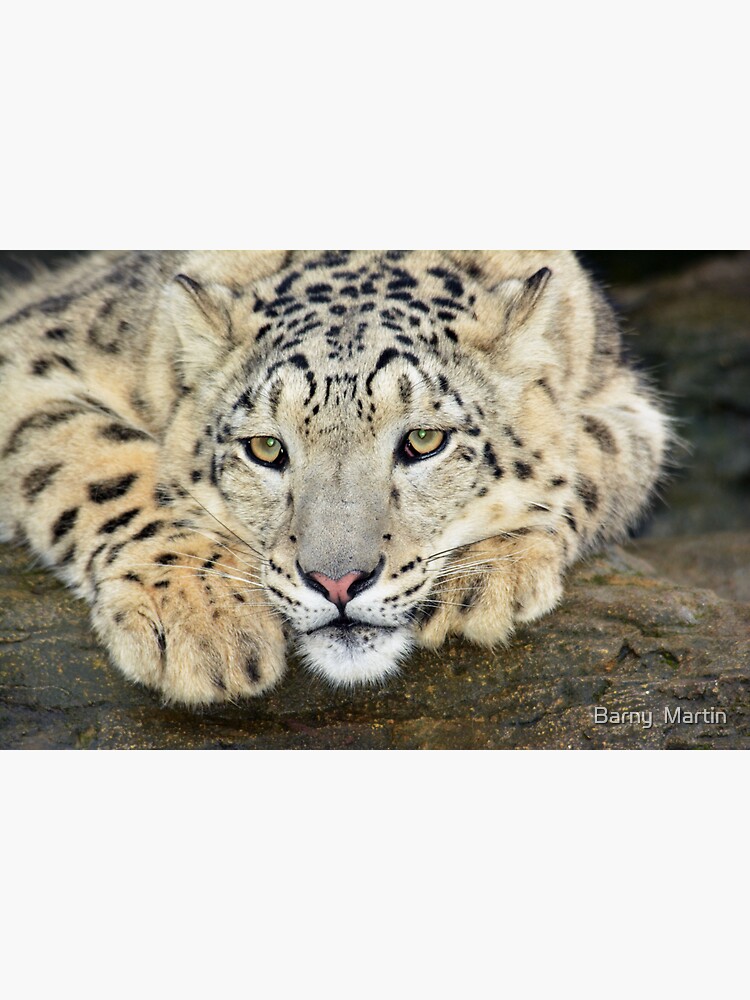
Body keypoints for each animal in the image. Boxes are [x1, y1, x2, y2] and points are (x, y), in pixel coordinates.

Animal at [0, 251, 669, 706]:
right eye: (266, 447)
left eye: (424, 441)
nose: (339, 582)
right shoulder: (30, 356)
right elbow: (100, 463)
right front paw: (201, 616)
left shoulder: (628, 406)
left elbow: (587, 466)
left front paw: (483, 579)